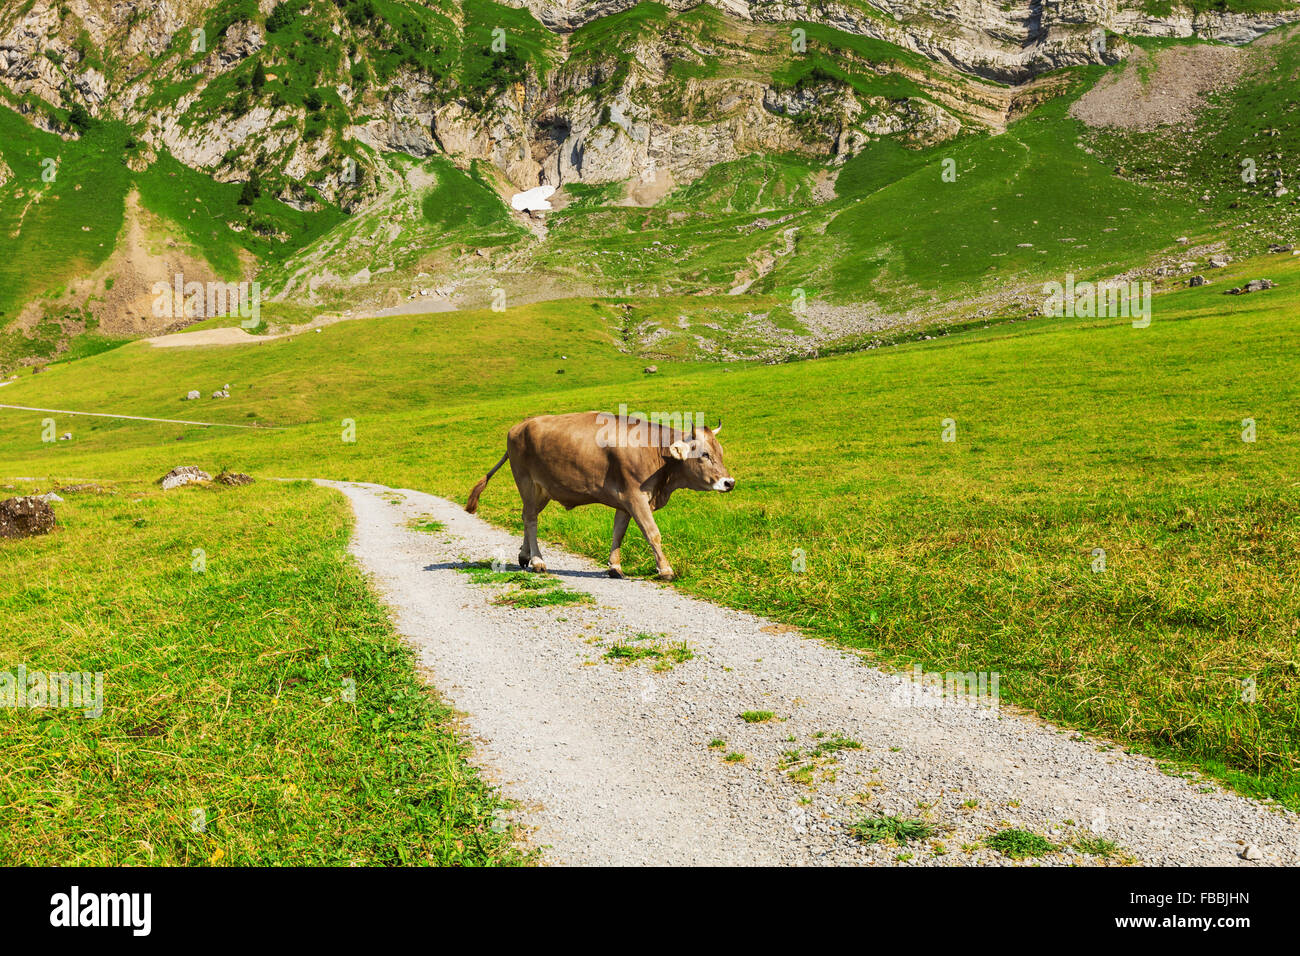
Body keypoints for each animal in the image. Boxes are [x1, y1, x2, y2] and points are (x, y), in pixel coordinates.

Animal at [465, 411, 735, 581]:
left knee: (525, 516)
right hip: (527, 482)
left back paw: (524, 555)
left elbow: (619, 532)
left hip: (543, 490)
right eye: (704, 454)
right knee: (531, 520)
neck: (656, 452)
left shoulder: (625, 501)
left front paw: (615, 566)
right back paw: (538, 561)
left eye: (720, 452)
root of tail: (520, 425)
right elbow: (652, 533)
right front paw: (665, 570)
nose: (729, 482)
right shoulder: (636, 497)